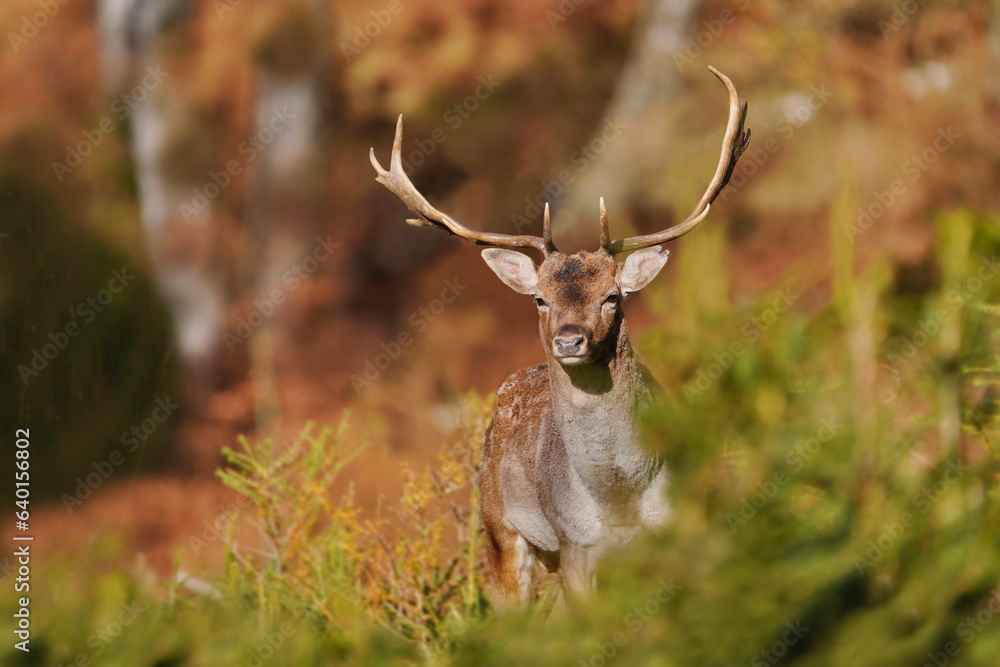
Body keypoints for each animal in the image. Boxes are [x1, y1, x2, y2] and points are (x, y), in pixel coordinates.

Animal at [370, 66, 750, 608]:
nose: (570, 340)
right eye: (539, 299)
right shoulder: (575, 543)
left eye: (613, 296)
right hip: (499, 529)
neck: (617, 499)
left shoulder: (677, 525)